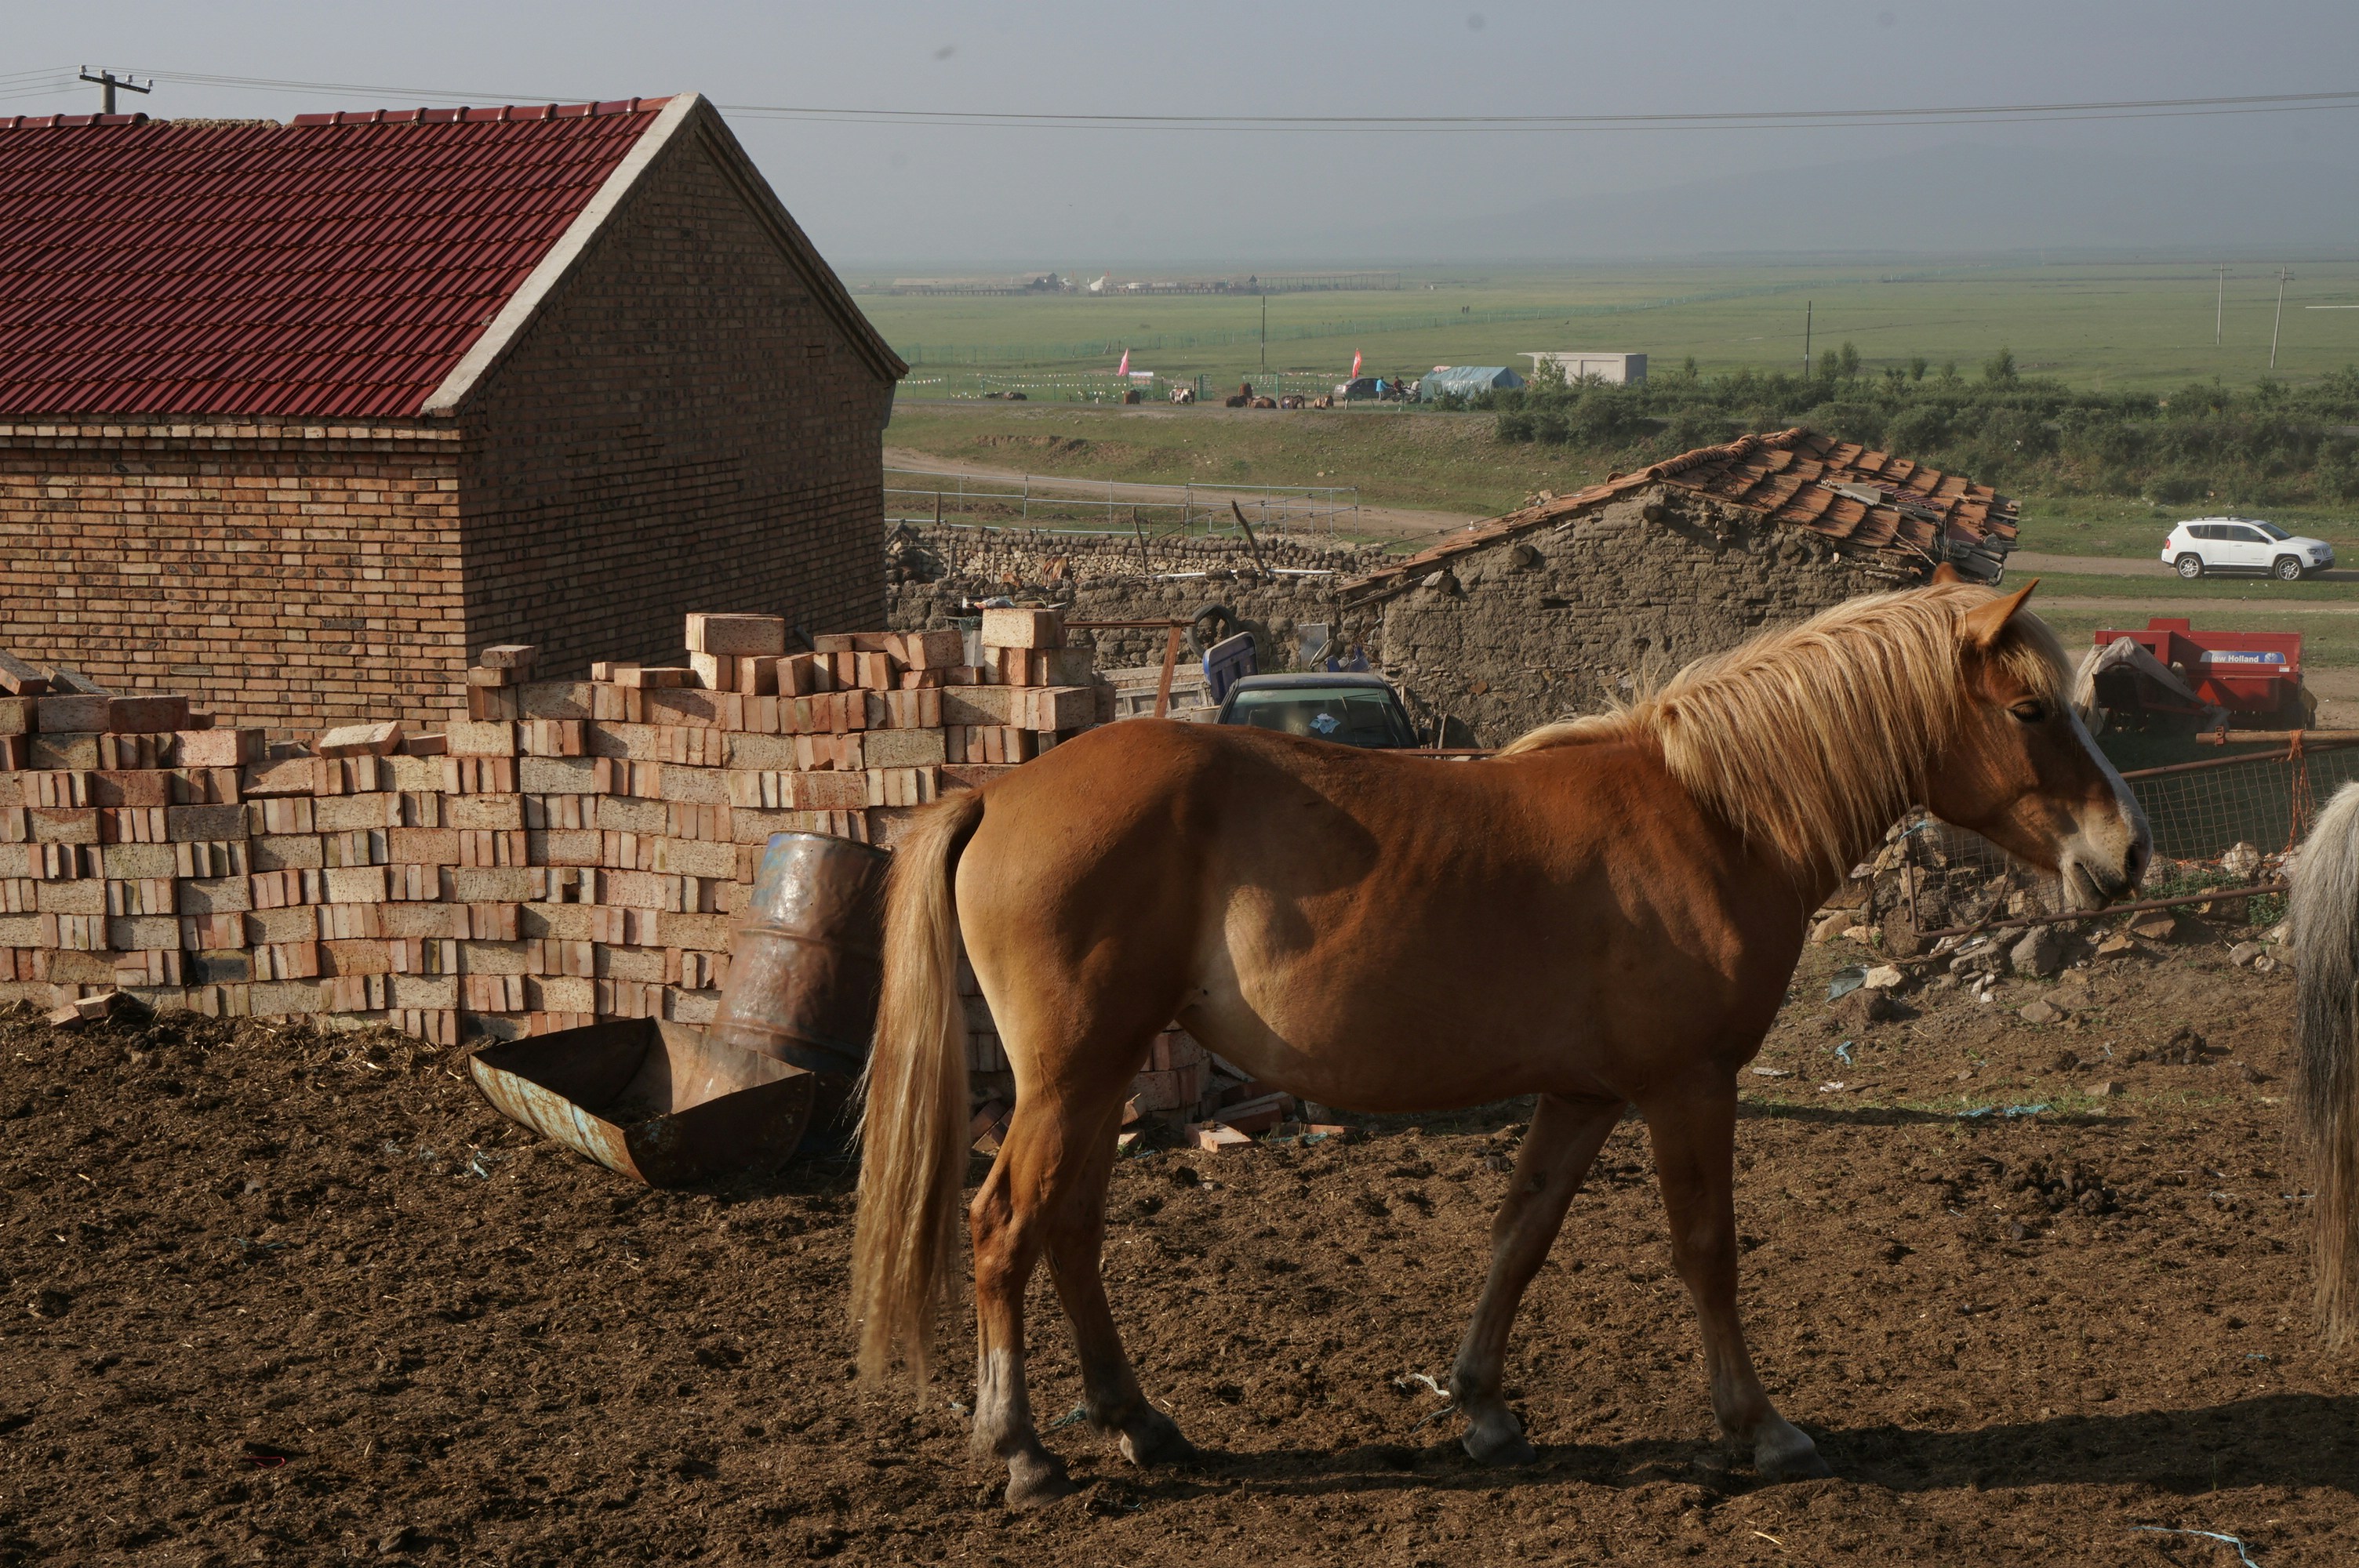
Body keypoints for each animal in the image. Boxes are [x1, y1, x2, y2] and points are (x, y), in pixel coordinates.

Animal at [852, 573, 2150, 1506]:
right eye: (2032, 710)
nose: (2129, 853)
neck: (1714, 816)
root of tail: (996, 793)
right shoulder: (1687, 1087)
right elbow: (1706, 1251)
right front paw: (1762, 1428)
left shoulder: (1584, 1096)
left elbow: (1519, 1238)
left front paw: (1480, 1404)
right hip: (1072, 1073)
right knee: (1004, 1226)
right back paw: (1022, 1451)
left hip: (1104, 1069)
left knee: (1069, 1229)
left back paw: (1141, 1422)